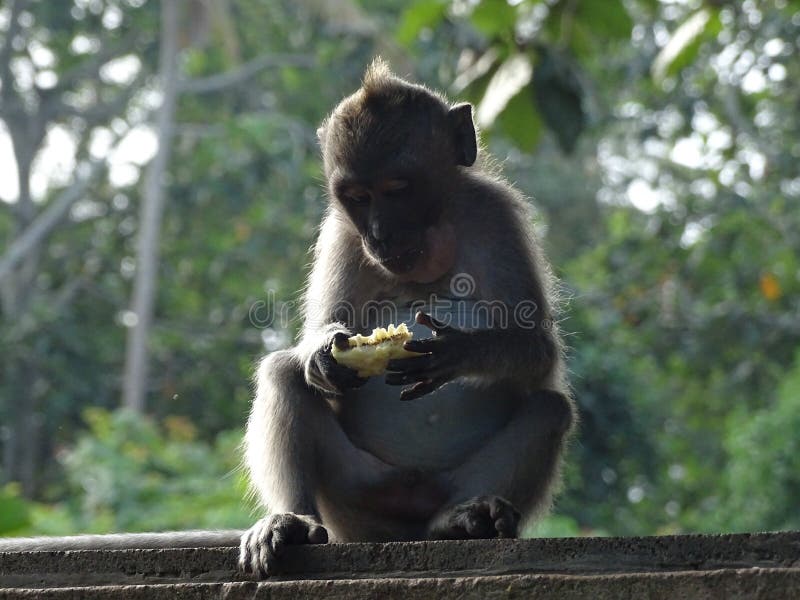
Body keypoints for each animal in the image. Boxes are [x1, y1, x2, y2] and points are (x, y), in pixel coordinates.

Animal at [239, 58, 576, 577]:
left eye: (397, 190)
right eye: (358, 196)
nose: (380, 234)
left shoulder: (495, 214)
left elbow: (537, 349)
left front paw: (460, 351)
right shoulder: (341, 235)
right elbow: (320, 338)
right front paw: (323, 353)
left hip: (436, 487)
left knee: (550, 408)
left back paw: (461, 519)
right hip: (357, 497)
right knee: (282, 374)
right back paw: (292, 521)